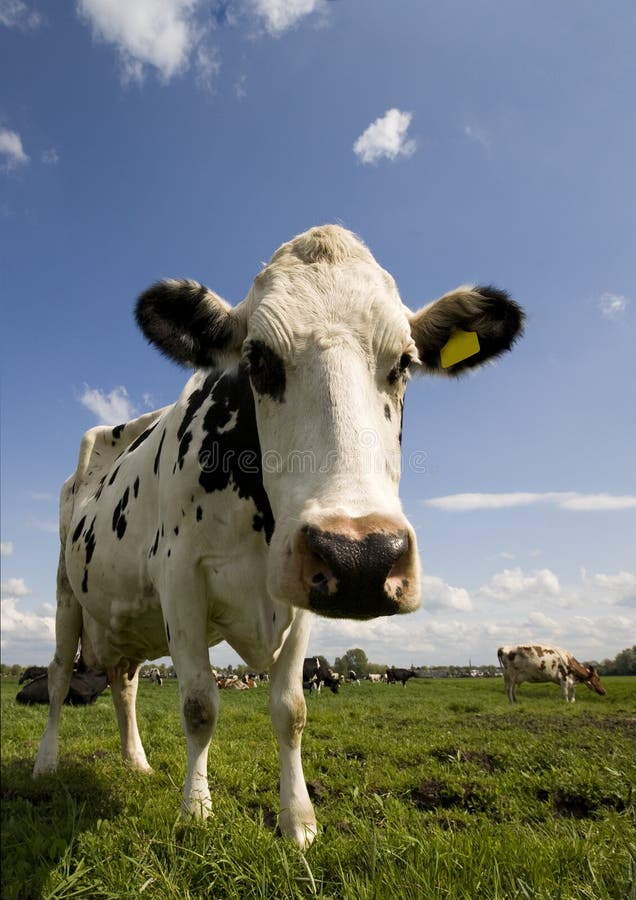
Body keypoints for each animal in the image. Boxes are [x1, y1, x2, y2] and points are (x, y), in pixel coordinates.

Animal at [32, 224, 524, 849]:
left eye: (405, 363)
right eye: (258, 359)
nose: (364, 557)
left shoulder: (304, 588)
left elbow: (290, 709)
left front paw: (299, 820)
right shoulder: (179, 577)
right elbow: (199, 704)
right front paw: (196, 811)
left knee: (125, 684)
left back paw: (136, 762)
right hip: (65, 594)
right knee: (57, 677)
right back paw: (46, 763)